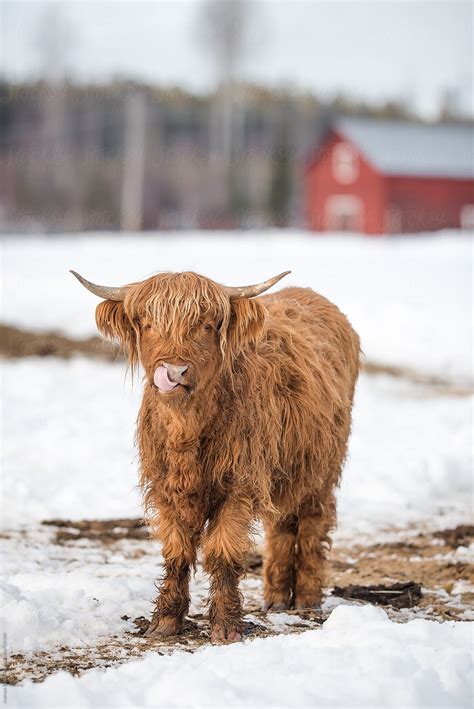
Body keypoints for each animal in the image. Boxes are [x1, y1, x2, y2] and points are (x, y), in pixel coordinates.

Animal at [71, 269, 360, 643]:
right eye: (147, 323)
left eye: (206, 325)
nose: (173, 372)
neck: (186, 430)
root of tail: (311, 295)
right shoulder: (164, 488)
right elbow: (176, 553)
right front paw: (165, 622)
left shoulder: (239, 486)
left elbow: (223, 553)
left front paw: (226, 628)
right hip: (282, 472)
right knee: (282, 524)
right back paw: (277, 598)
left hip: (321, 468)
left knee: (313, 523)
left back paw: (307, 599)